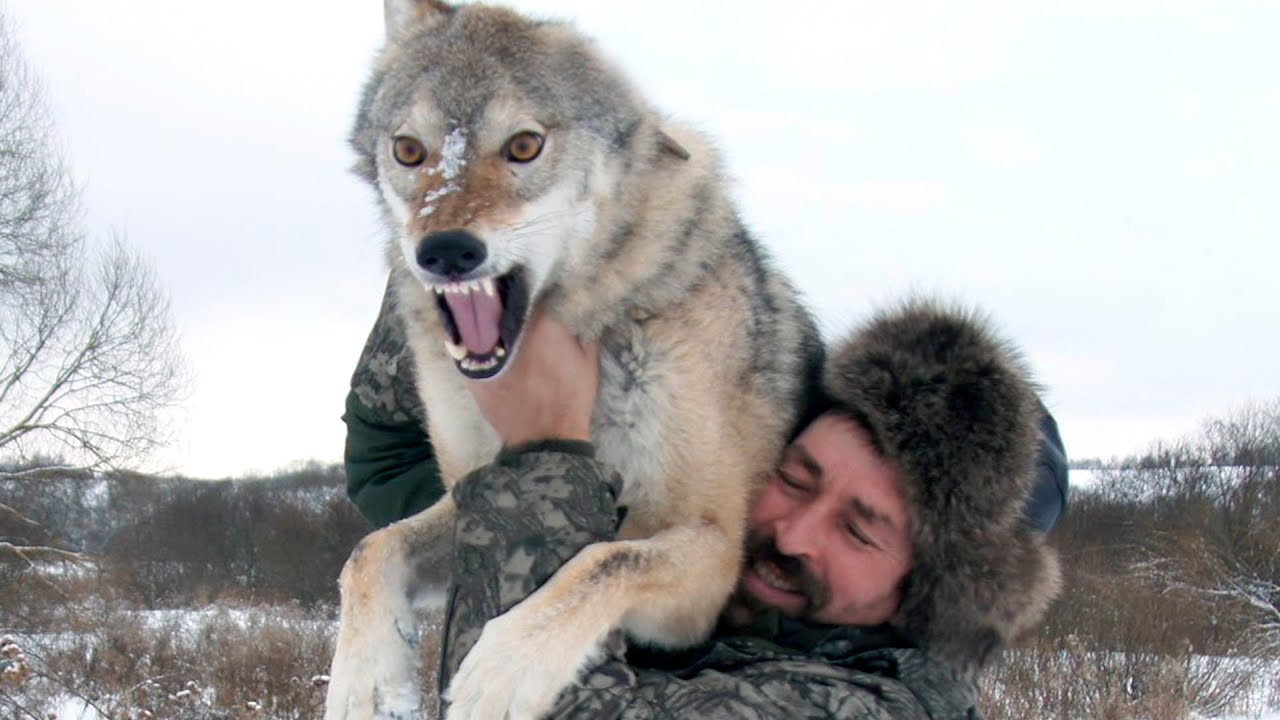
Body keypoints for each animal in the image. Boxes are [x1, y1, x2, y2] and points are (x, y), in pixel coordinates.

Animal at [325, 2, 822, 718]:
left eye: (524, 145)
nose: (446, 251)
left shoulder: (714, 554)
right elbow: (370, 548)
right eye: (409, 151)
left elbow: (605, 560)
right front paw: (365, 679)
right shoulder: (473, 500)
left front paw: (503, 670)